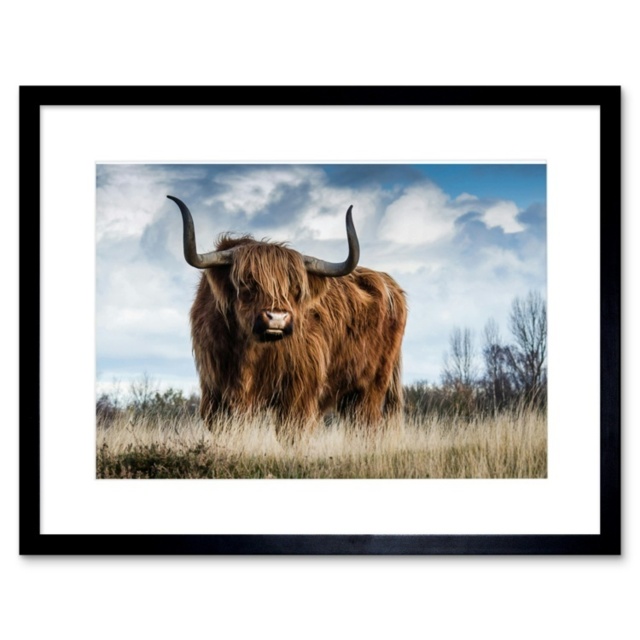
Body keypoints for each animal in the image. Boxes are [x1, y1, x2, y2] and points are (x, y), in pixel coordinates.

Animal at [167, 195, 407, 432]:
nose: (277, 318)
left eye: (296, 288)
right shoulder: (215, 392)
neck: (249, 352)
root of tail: (389, 283)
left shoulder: (298, 393)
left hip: (370, 388)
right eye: (247, 283)